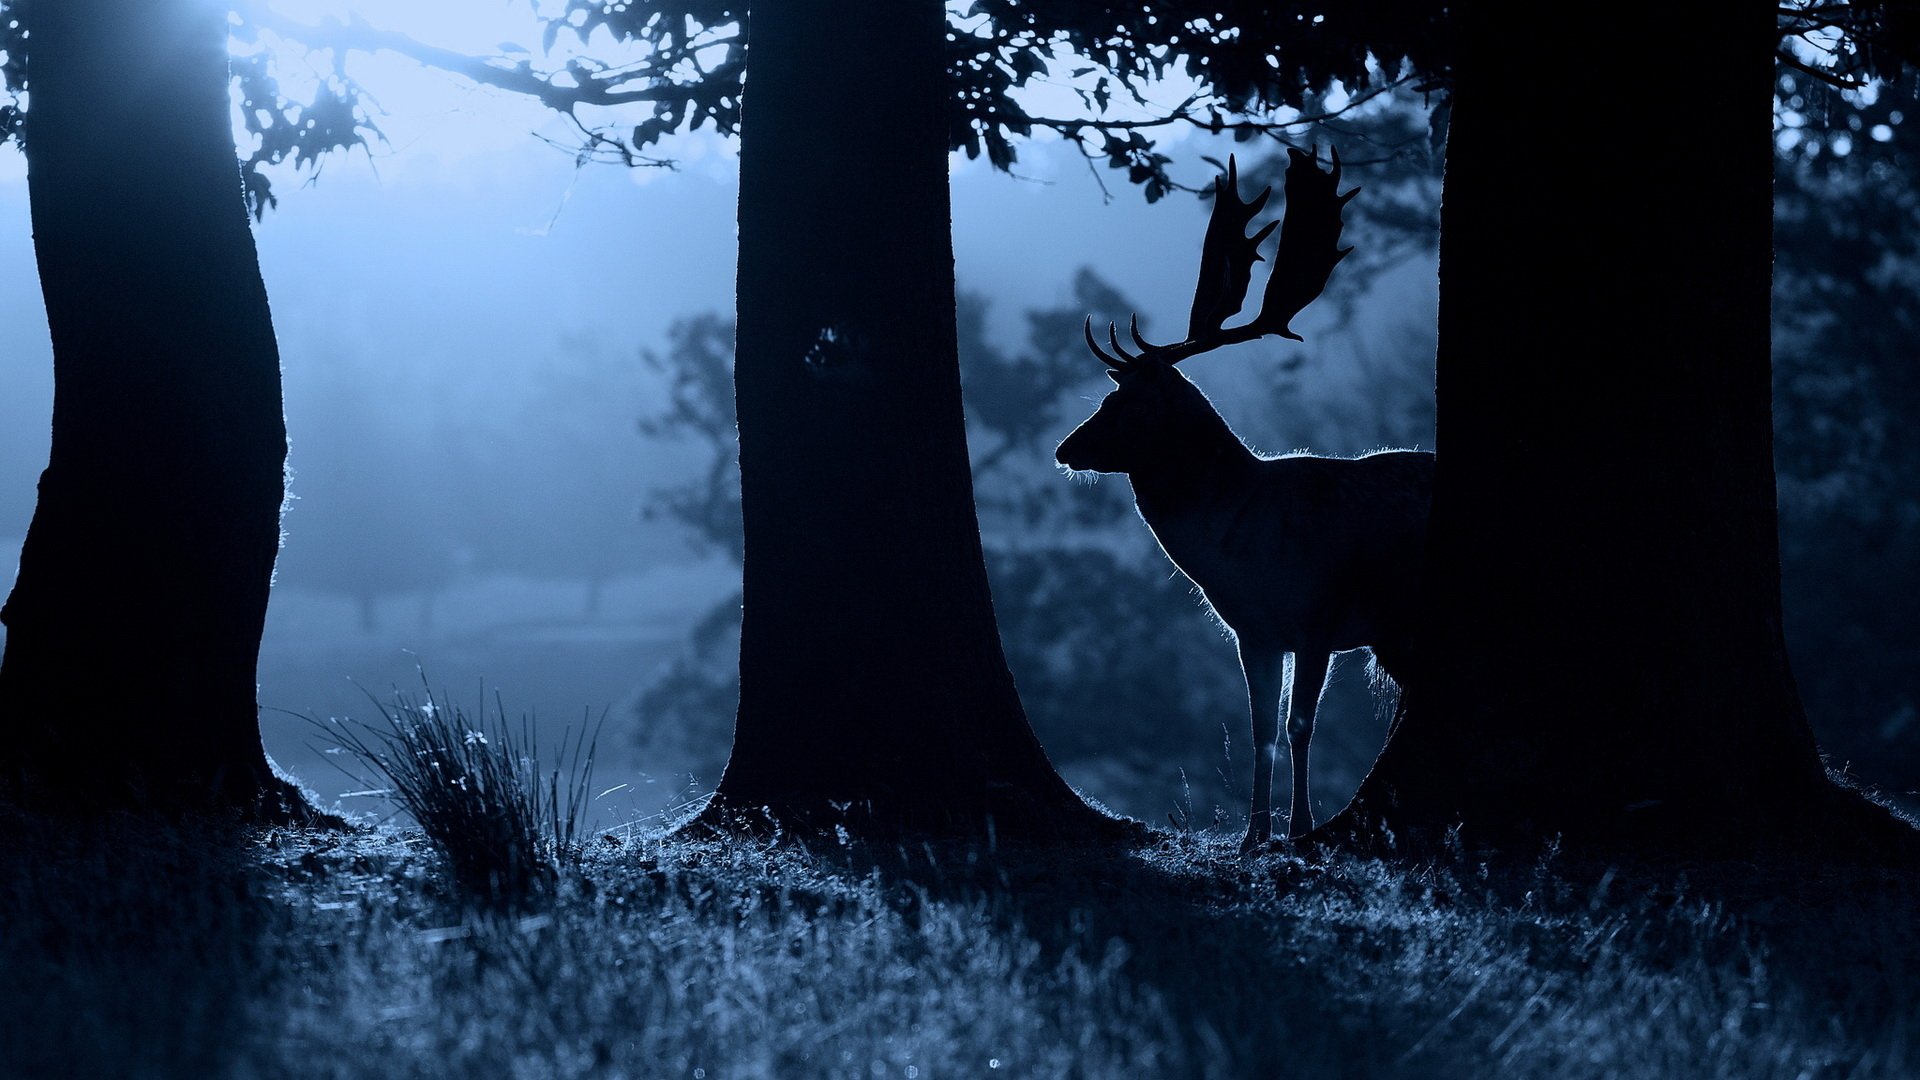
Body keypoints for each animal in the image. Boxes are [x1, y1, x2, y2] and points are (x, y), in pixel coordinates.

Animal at [1055, 149, 1432, 851]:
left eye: (1129, 403)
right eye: (1108, 396)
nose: (1066, 449)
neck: (1246, 553)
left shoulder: (1319, 617)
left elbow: (1299, 726)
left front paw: (1300, 828)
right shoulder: (1251, 633)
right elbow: (1259, 729)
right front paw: (1253, 834)